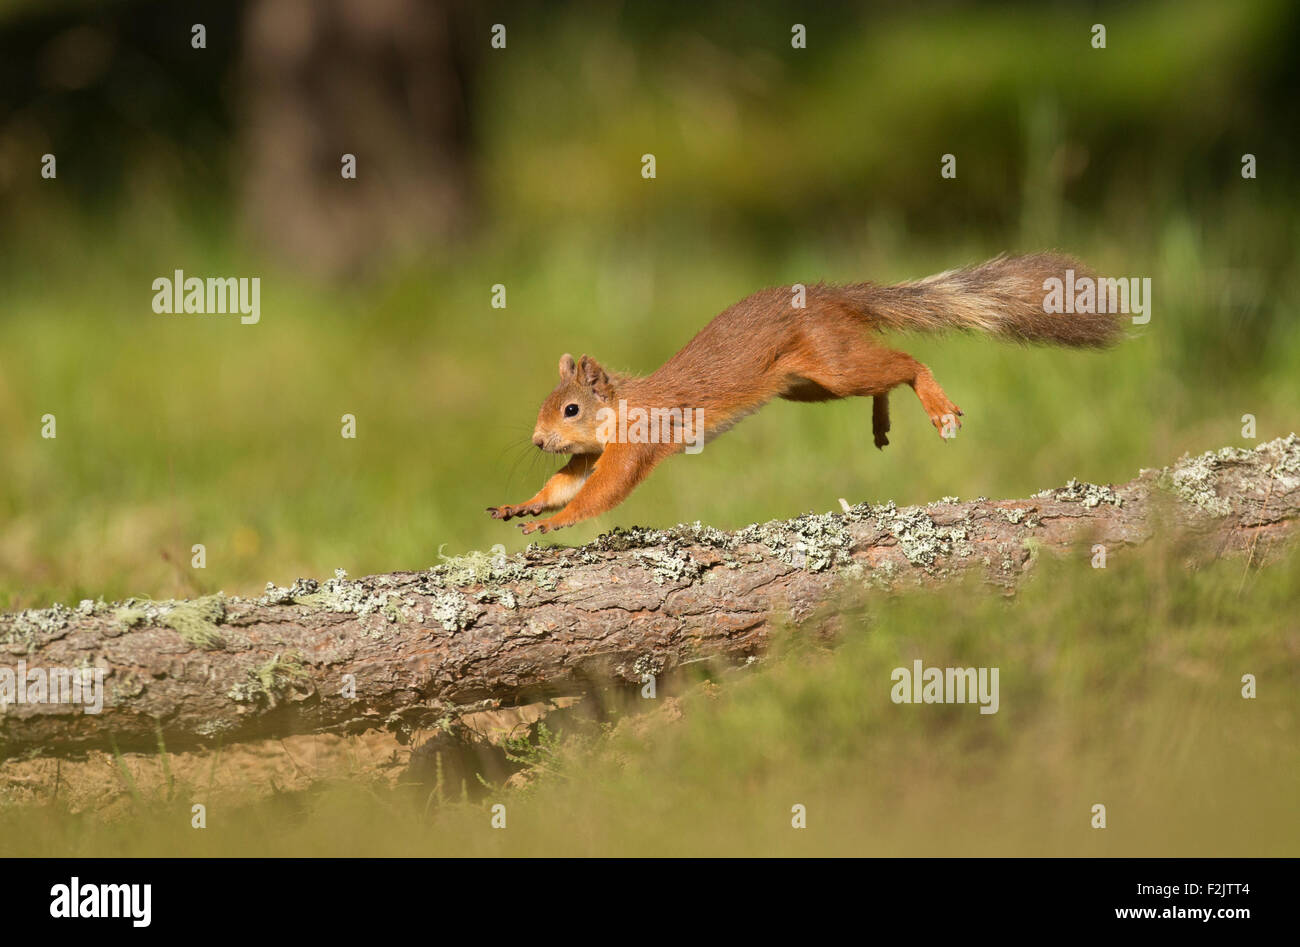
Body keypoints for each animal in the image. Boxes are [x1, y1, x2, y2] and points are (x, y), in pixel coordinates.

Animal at [488, 253, 1122, 534]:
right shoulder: (588, 454)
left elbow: (601, 492)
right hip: (810, 388)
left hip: (831, 365)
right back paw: (882, 421)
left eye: (571, 408)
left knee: (906, 362)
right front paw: (523, 504)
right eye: (546, 408)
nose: (538, 440)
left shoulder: (634, 445)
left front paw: (553, 524)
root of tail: (831, 297)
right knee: (884, 375)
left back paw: (937, 407)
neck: (620, 408)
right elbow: (564, 482)